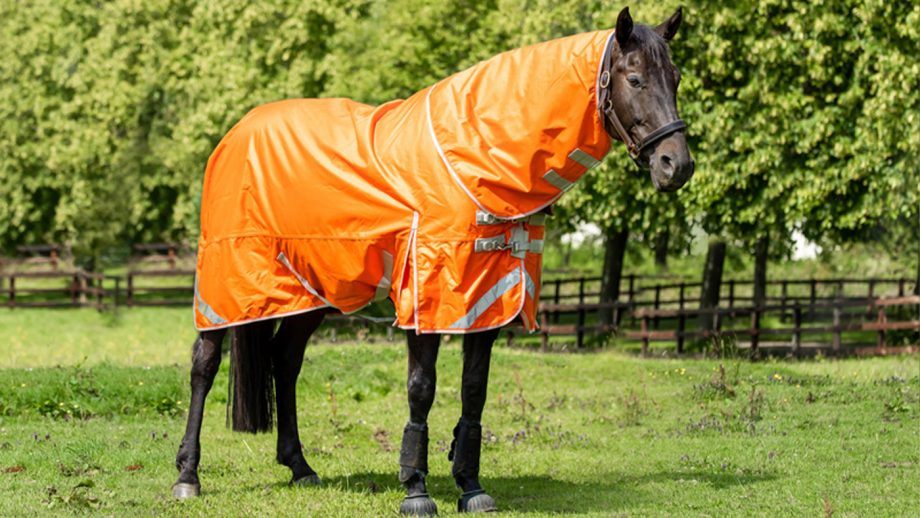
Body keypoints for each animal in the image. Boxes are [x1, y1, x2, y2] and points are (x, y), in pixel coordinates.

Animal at [172, 6, 694, 515]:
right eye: (634, 78)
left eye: (676, 78)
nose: (677, 165)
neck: (476, 156)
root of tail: (235, 134)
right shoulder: (427, 296)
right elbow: (421, 388)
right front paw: (416, 490)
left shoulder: (487, 301)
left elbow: (474, 390)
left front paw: (470, 486)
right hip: (228, 284)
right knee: (204, 364)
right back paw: (187, 477)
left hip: (312, 290)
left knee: (285, 360)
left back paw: (300, 467)